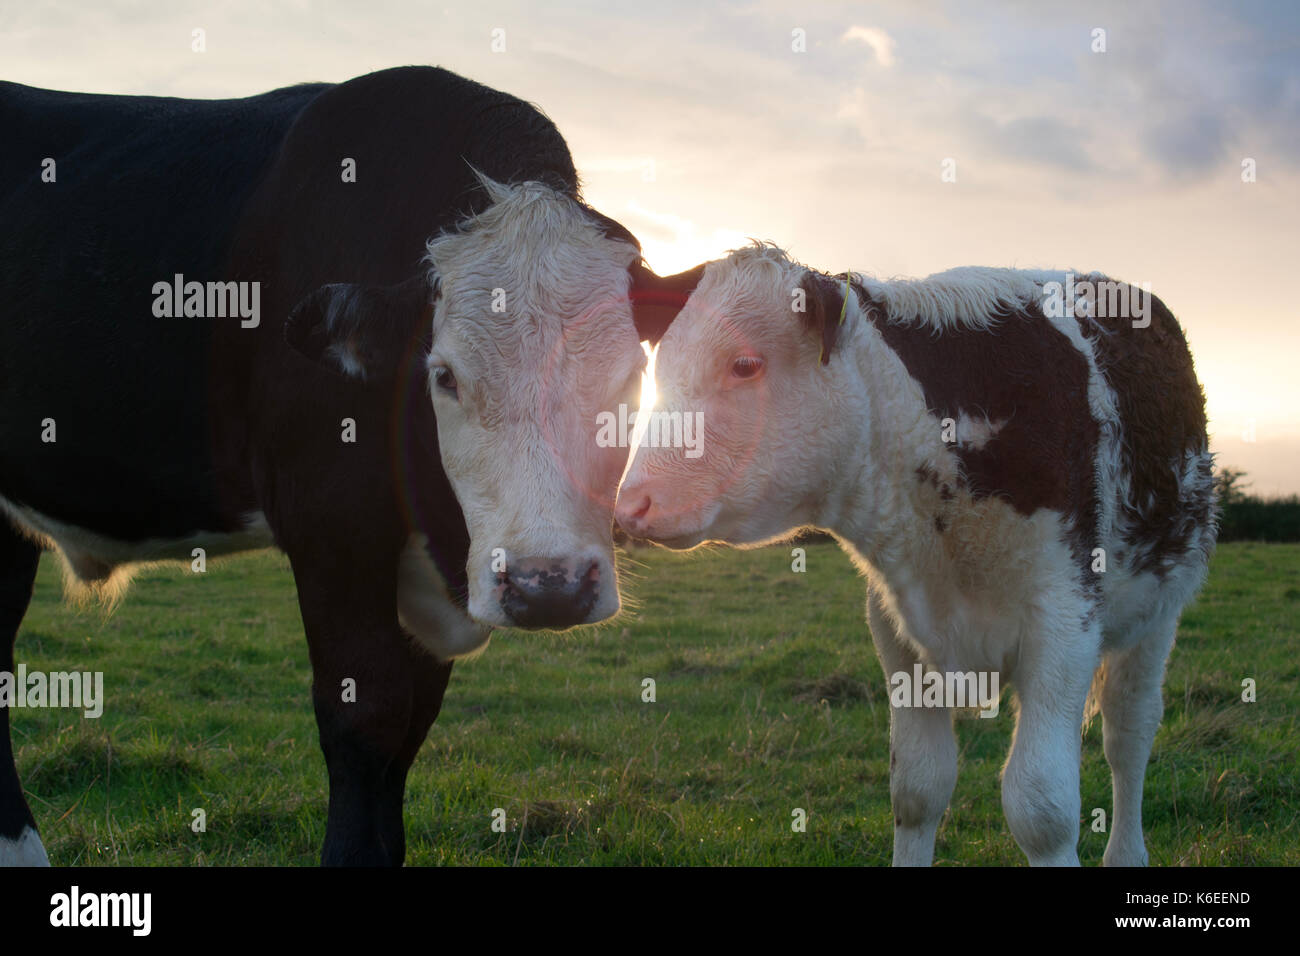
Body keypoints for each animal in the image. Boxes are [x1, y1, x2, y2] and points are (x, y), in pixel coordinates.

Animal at [0, 66, 695, 866]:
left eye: (632, 378)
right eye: (443, 375)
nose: (547, 587)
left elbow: (408, 729)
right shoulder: (330, 525)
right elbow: (366, 718)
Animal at [616, 243, 1217, 866]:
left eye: (744, 364)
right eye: (660, 371)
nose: (632, 504)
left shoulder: (1065, 620)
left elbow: (1042, 808)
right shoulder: (897, 627)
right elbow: (917, 789)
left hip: (1158, 615)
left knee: (1129, 734)